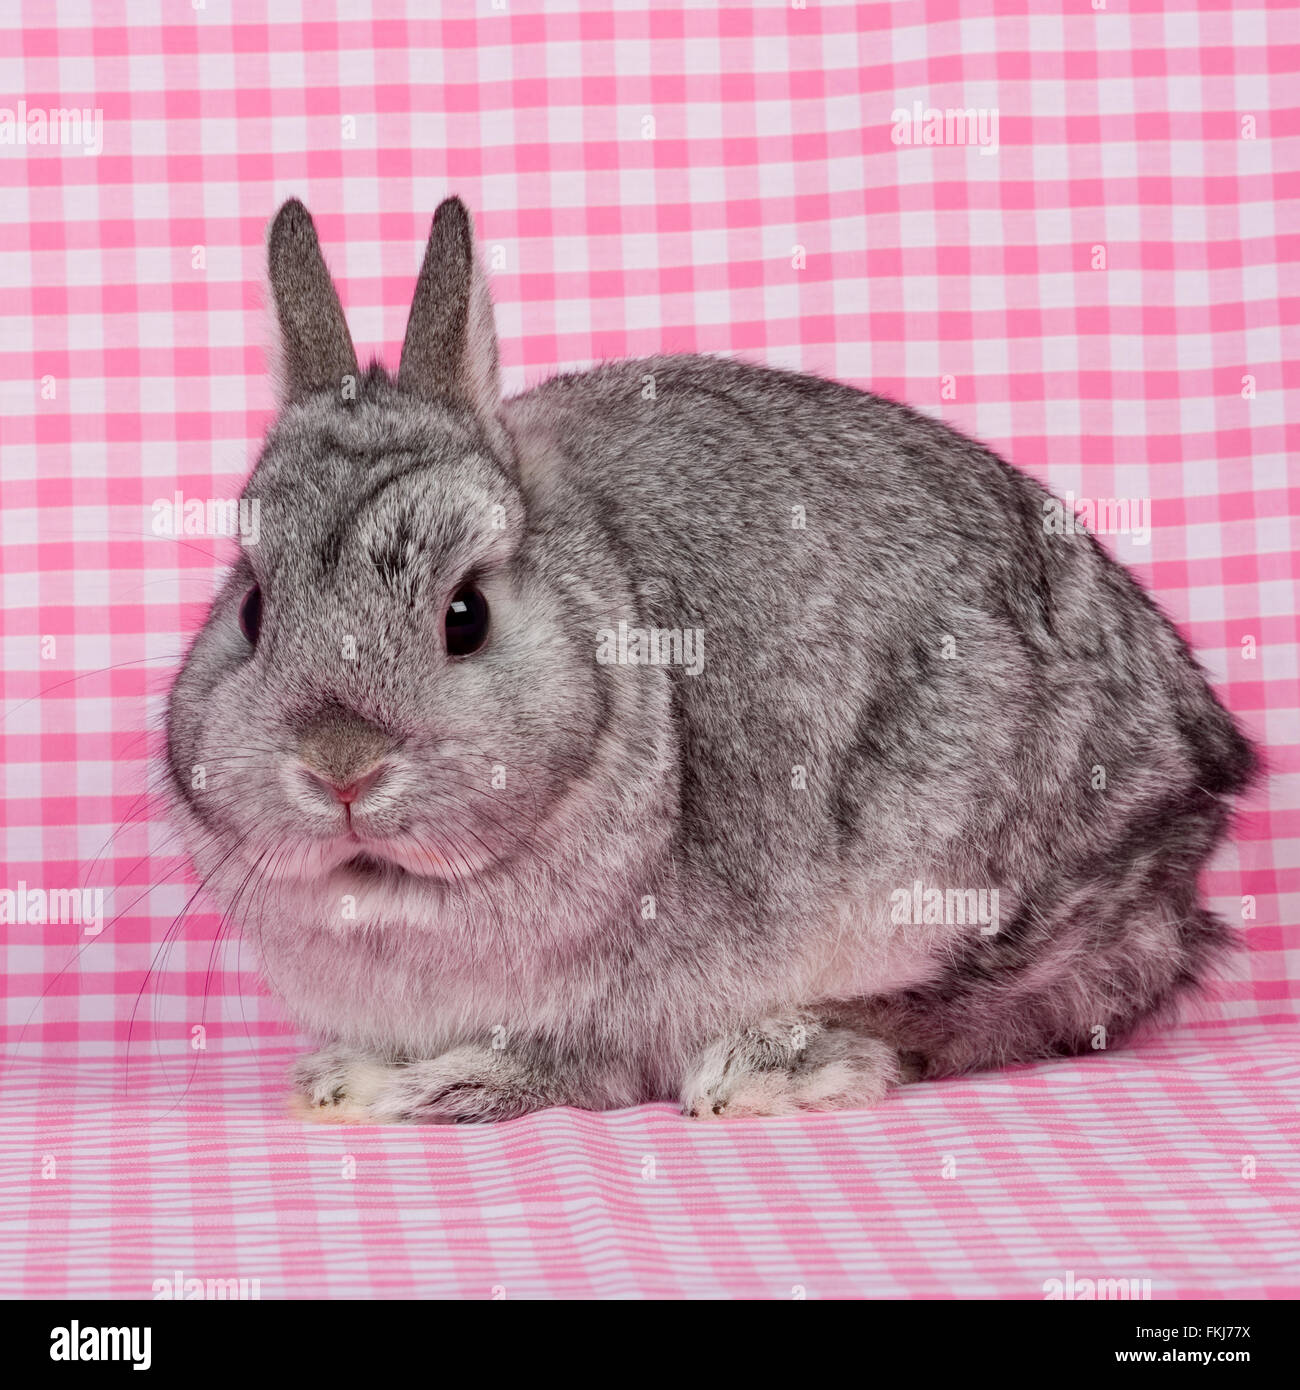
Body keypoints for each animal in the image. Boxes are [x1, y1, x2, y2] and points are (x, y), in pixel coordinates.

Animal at [165, 196, 1257, 1123]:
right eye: (253, 609)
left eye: (464, 616)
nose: (339, 765)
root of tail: (1193, 785)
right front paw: (341, 1081)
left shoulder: (617, 997)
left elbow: (574, 1066)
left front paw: (448, 1086)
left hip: (972, 884)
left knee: (979, 1014)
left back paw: (776, 1066)